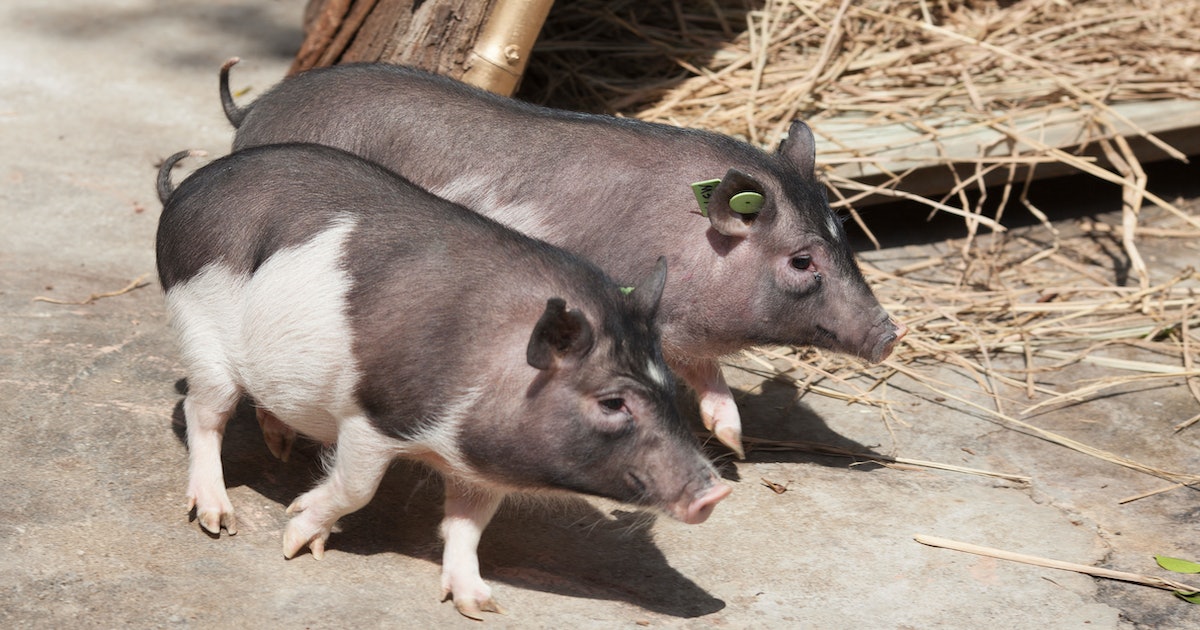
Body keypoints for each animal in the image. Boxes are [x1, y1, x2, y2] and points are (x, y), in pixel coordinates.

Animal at [154, 143, 730, 619]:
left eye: (667, 388)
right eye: (612, 403)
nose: (716, 491)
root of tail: (185, 191)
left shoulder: (480, 468)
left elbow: (468, 526)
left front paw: (480, 606)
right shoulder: (374, 417)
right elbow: (357, 489)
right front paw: (296, 541)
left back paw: (280, 445)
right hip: (199, 328)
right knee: (202, 413)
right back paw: (216, 519)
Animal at [220, 59, 907, 459]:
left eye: (842, 232)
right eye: (801, 262)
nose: (889, 333)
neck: (689, 242)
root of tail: (252, 111)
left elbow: (706, 373)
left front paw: (734, 445)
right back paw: (280, 452)